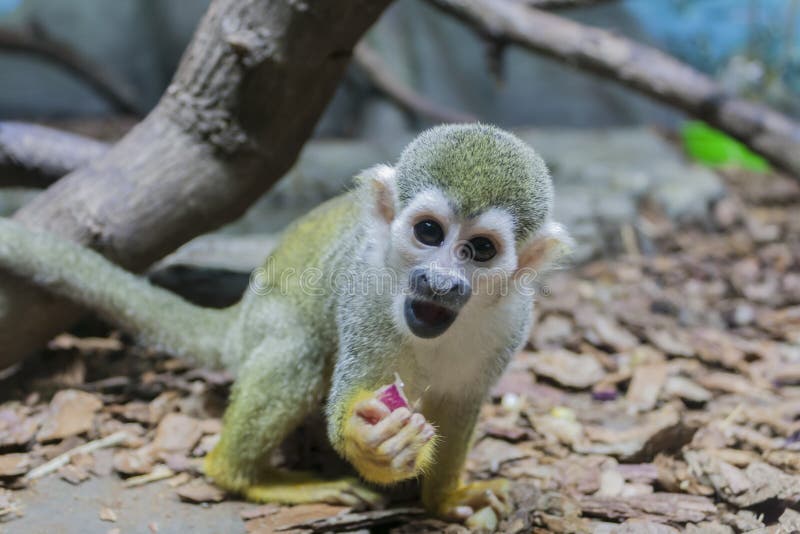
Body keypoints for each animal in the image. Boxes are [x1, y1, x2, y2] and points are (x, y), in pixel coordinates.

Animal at [0, 124, 569, 528]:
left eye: (480, 250)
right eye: (429, 232)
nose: (440, 281)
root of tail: (241, 315)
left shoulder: (513, 323)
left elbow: (462, 406)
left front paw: (448, 499)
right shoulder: (365, 293)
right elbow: (349, 403)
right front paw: (375, 444)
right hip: (268, 325)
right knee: (299, 350)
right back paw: (246, 476)